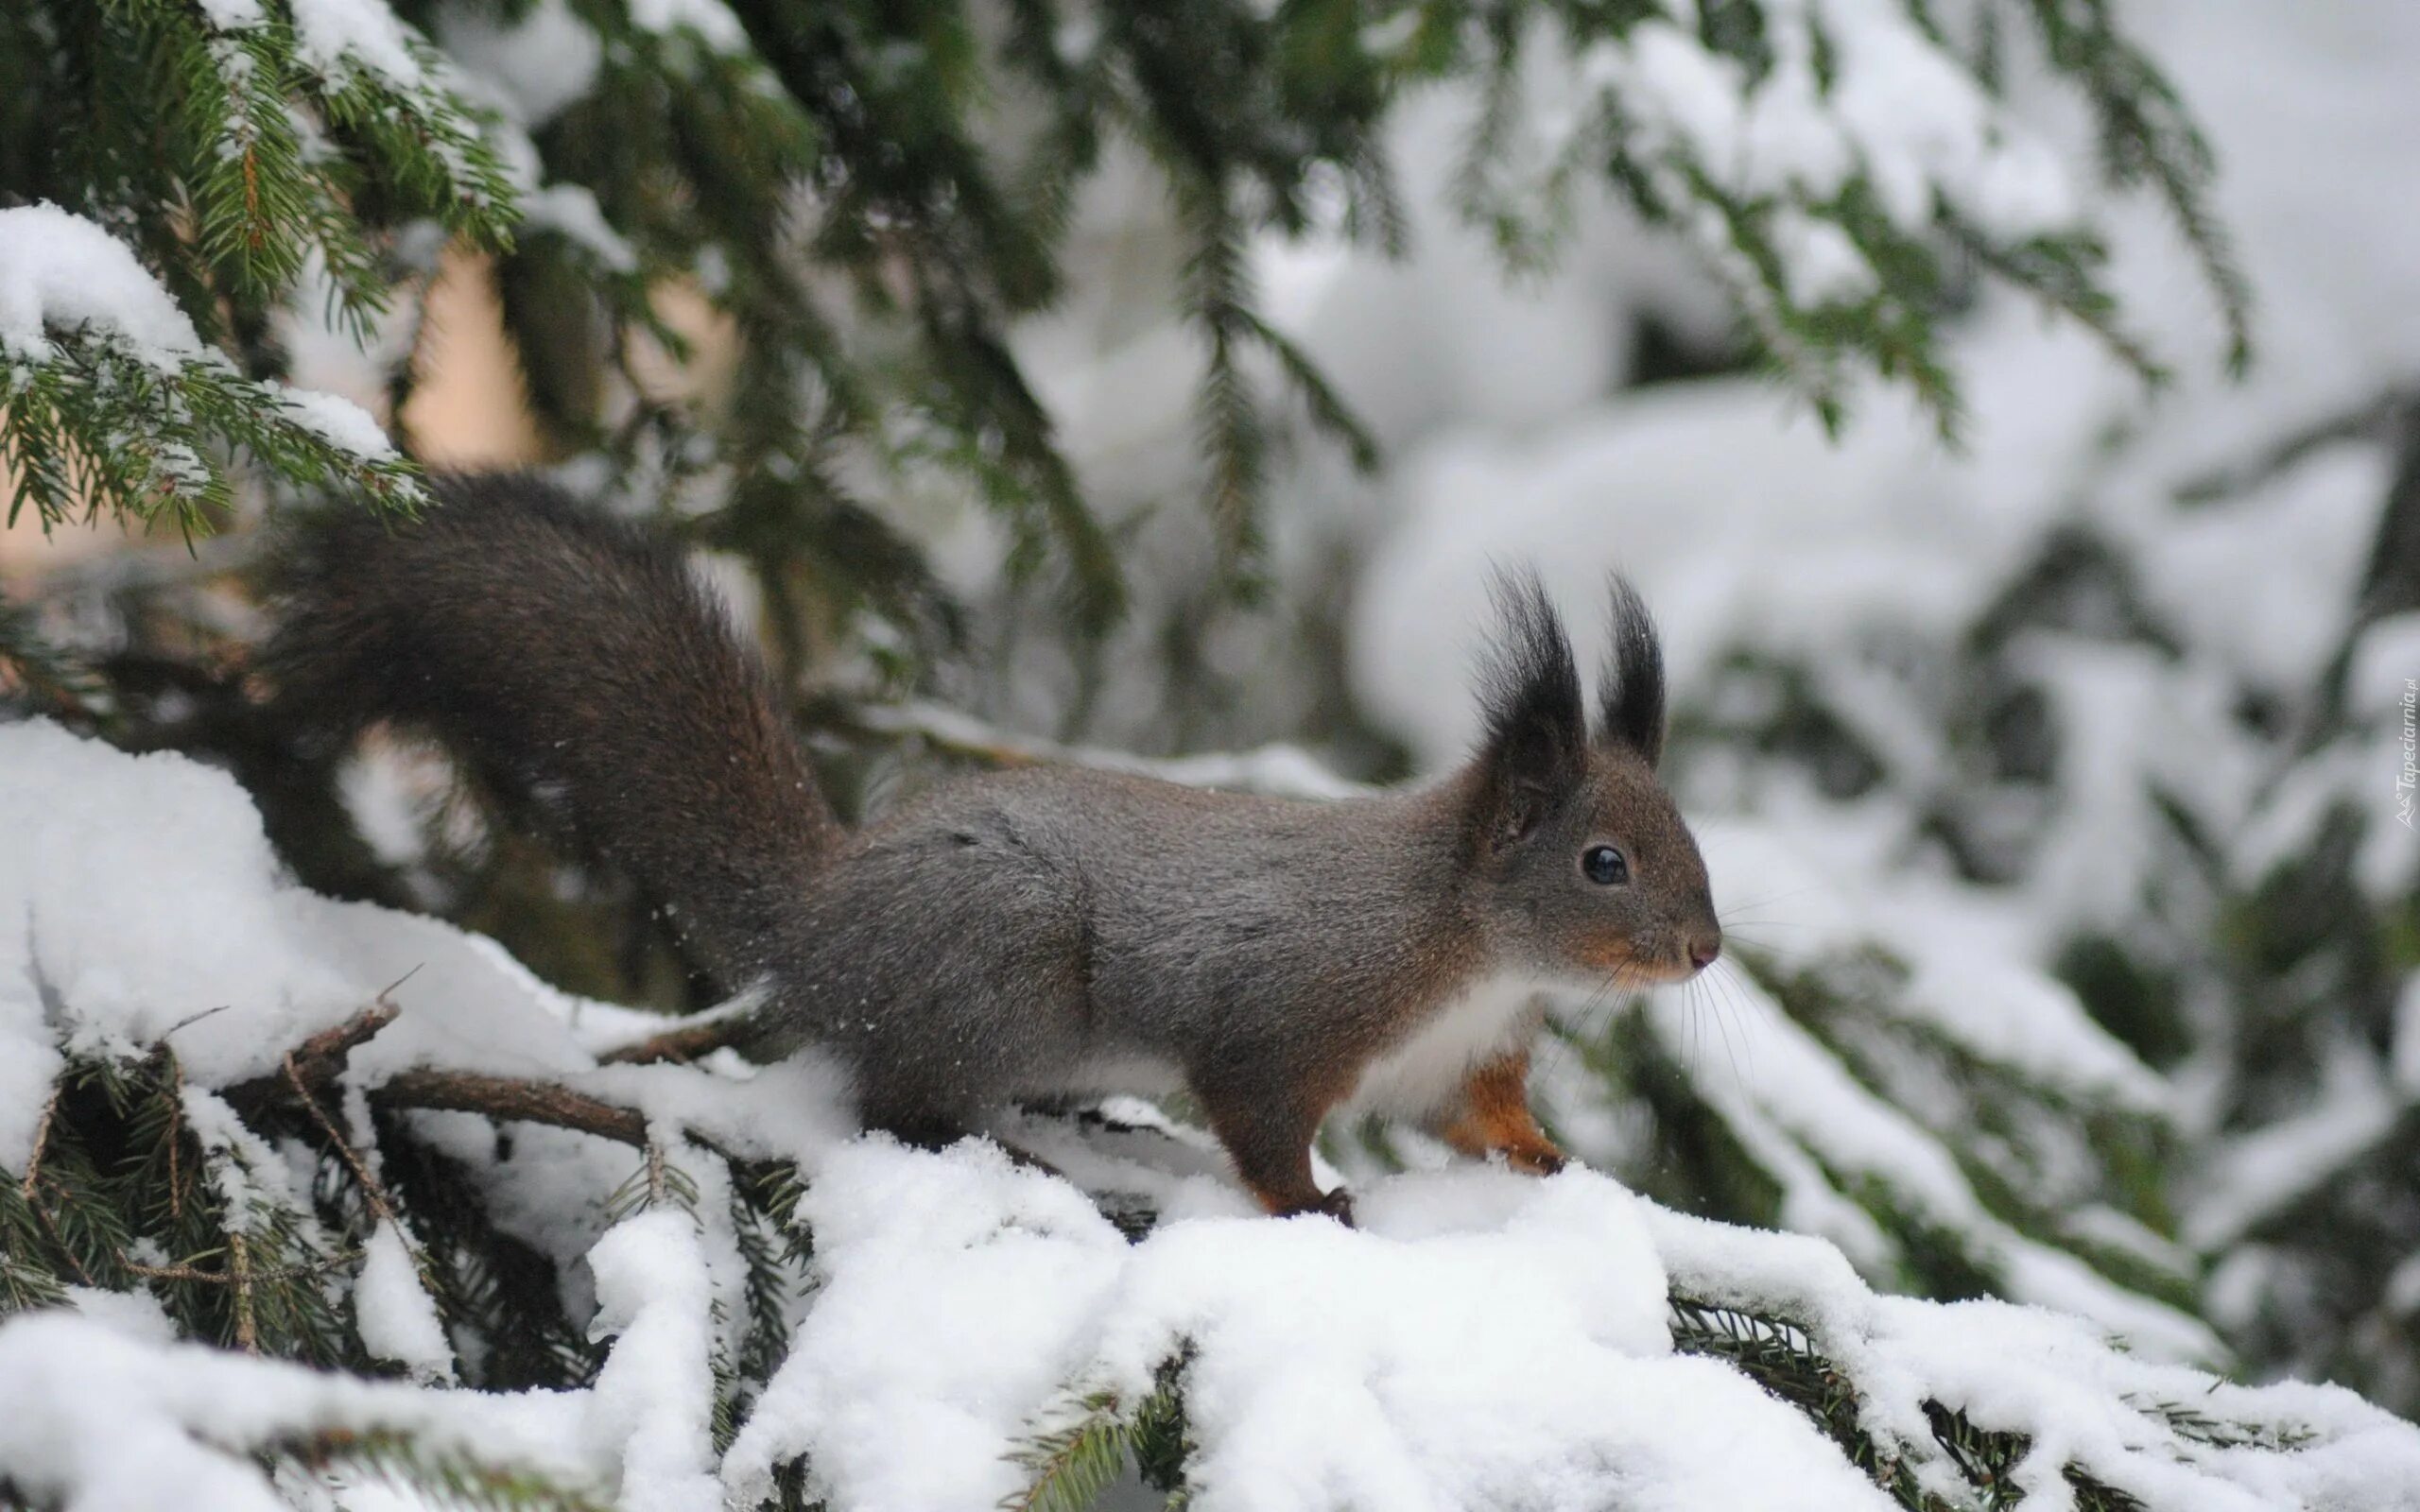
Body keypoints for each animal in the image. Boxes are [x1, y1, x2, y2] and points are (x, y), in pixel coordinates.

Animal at [274, 476, 1722, 1219]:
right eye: (1604, 862)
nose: (1708, 951)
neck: (1470, 942)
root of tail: (824, 915)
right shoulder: (1286, 1007)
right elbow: (1256, 1118)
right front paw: (1311, 1203)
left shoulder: (1457, 1061)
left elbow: (1480, 1122)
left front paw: (1557, 1163)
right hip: (1002, 959)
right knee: (896, 1102)